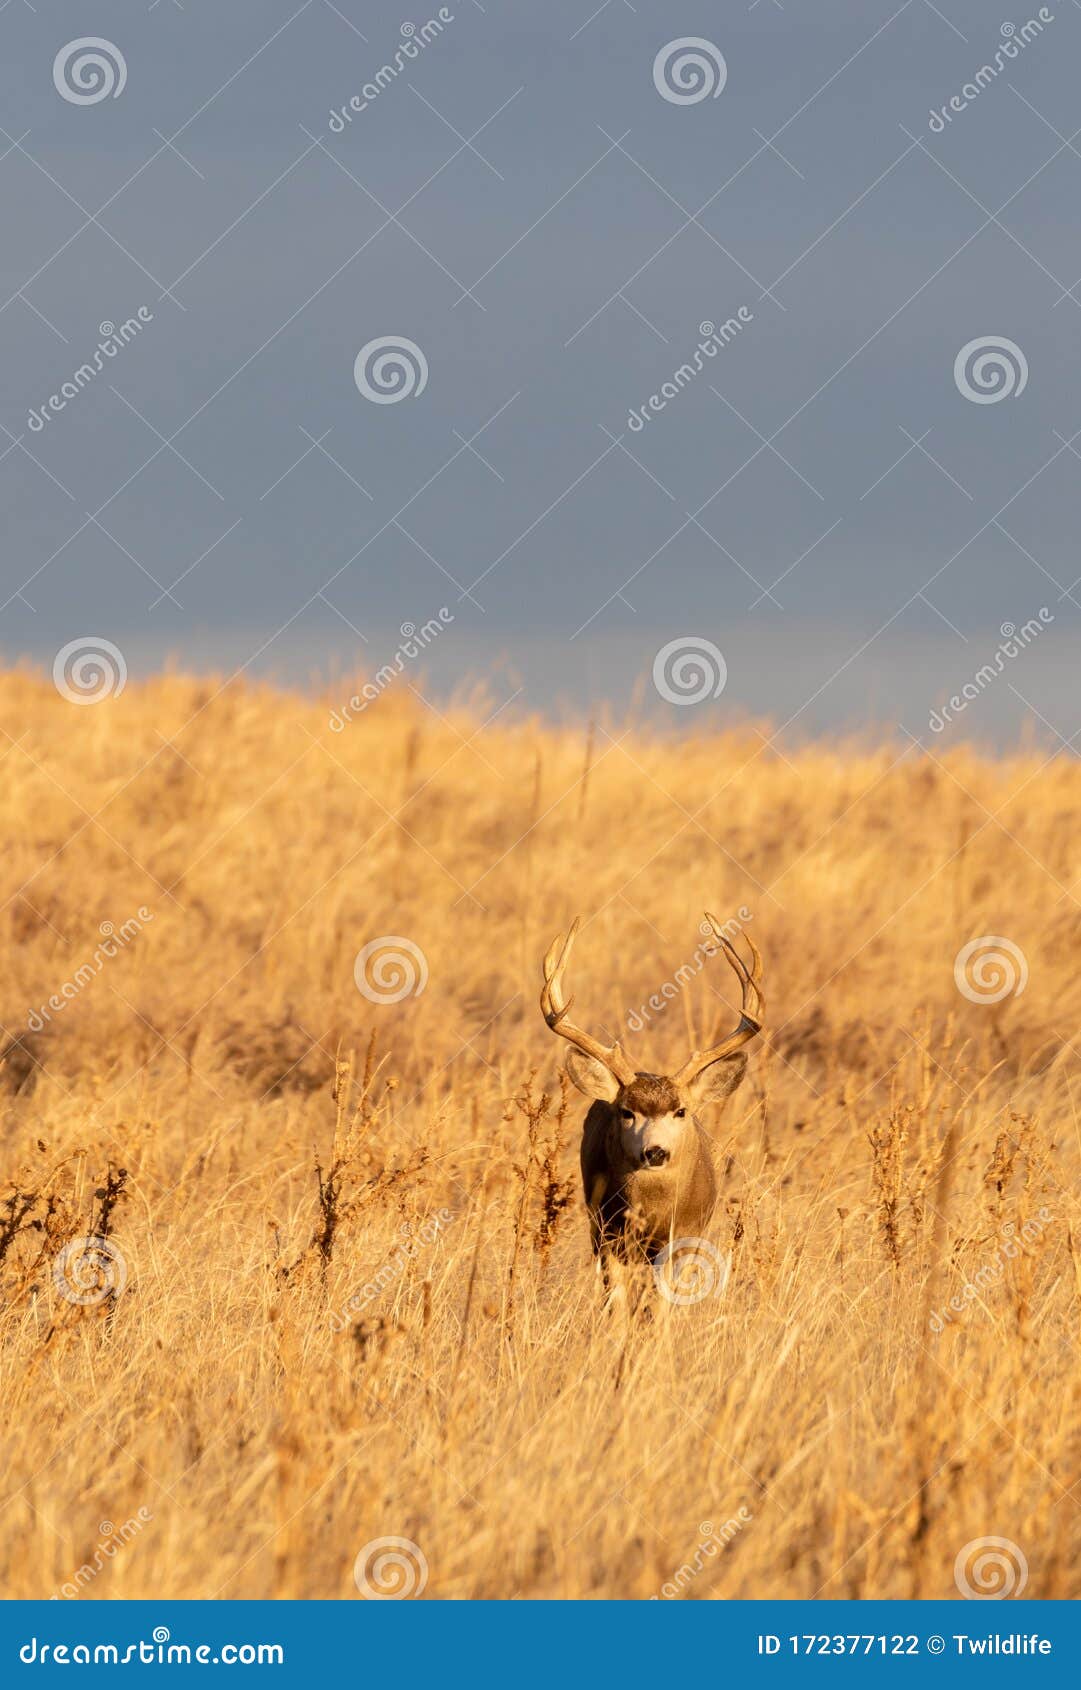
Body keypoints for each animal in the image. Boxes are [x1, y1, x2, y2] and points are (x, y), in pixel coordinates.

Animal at [540, 915, 764, 1301]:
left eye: (681, 1111)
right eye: (626, 1111)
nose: (655, 1152)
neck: (654, 1214)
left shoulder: (684, 1237)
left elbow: (661, 1301)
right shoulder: (608, 1234)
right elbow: (616, 1299)